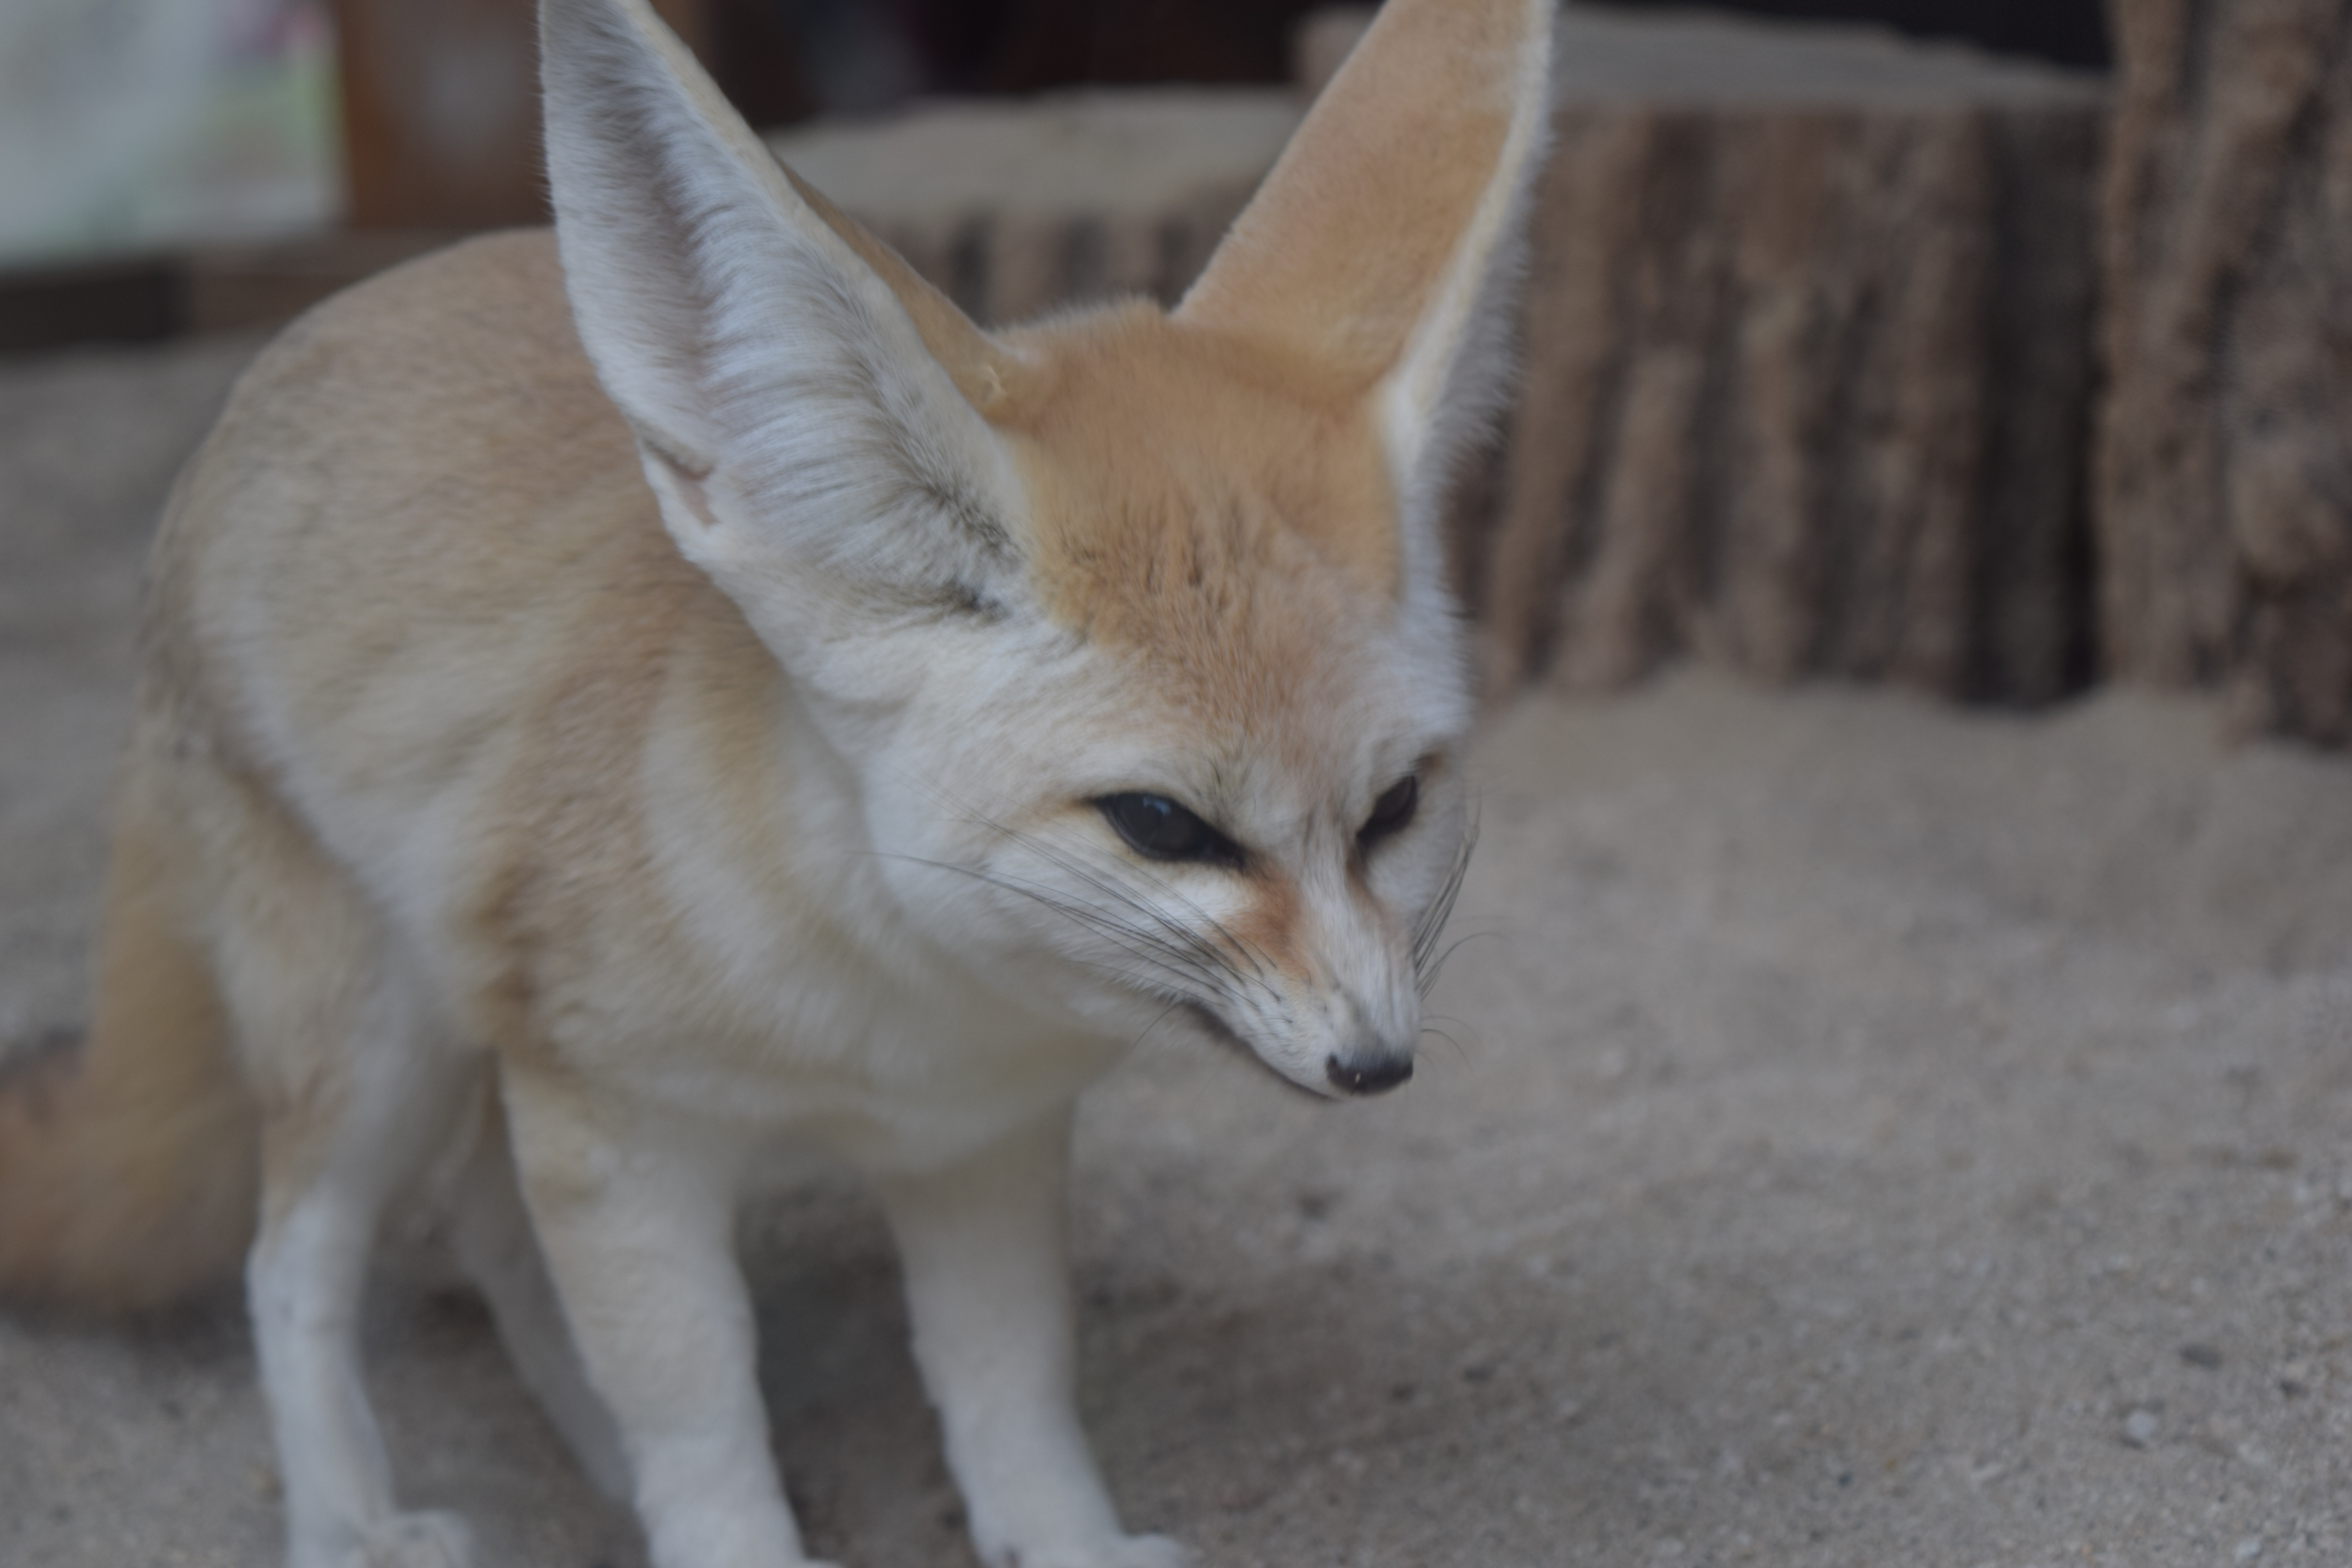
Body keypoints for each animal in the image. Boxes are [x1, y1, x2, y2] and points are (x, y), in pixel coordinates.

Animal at [0, 0, 1552, 1563]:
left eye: (1396, 808)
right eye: (1164, 825)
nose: (1377, 1063)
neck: (892, 1003)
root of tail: (313, 332)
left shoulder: (975, 1140)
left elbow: (1010, 1386)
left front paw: (1061, 1535)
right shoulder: (613, 1132)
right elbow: (700, 1417)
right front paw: (716, 1524)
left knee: (486, 1231)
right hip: (378, 1042)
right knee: (292, 1261)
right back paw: (350, 1518)